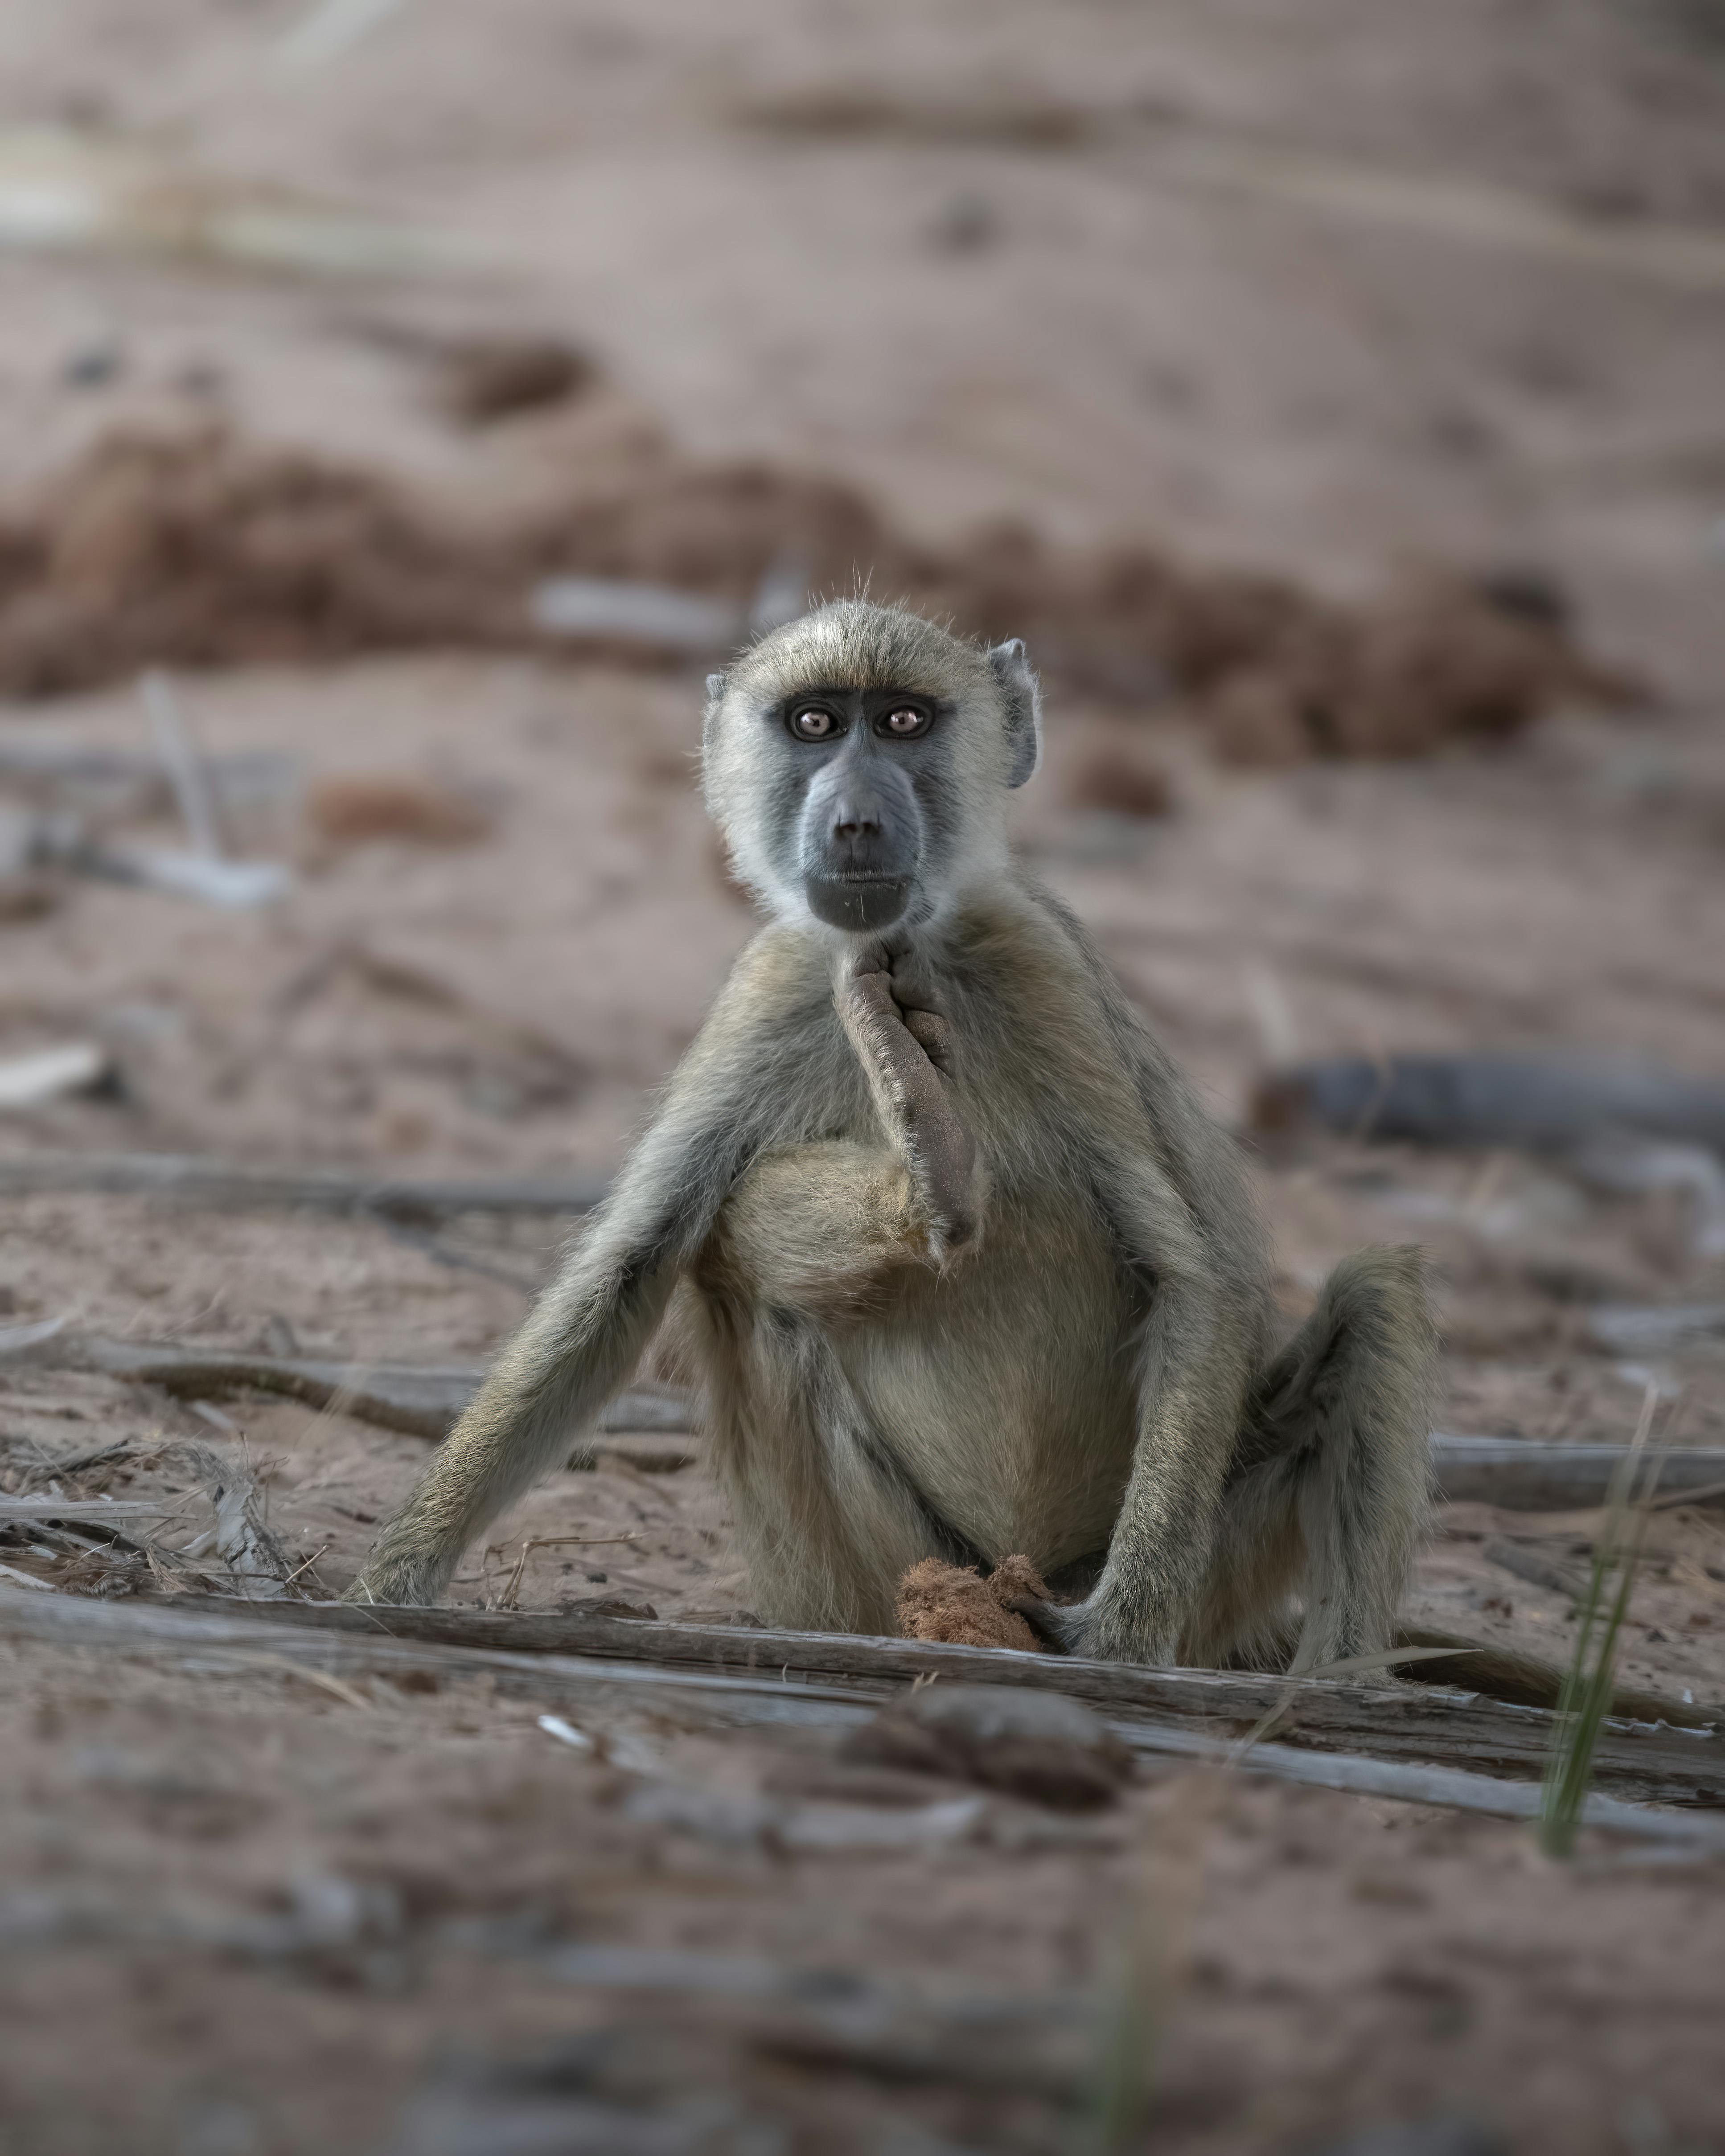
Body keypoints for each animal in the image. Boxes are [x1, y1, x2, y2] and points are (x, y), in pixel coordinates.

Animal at [349, 599, 1437, 1674]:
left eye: (905, 721)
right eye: (815, 723)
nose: (857, 820)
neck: (899, 953)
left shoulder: (1040, 970)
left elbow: (1190, 1277)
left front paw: (1124, 1637)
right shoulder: (775, 983)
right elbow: (625, 1272)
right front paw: (386, 1583)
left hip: (1195, 1570)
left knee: (1377, 1295)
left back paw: (1339, 1684)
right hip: (901, 1564)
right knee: (759, 1293)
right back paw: (928, 1186)